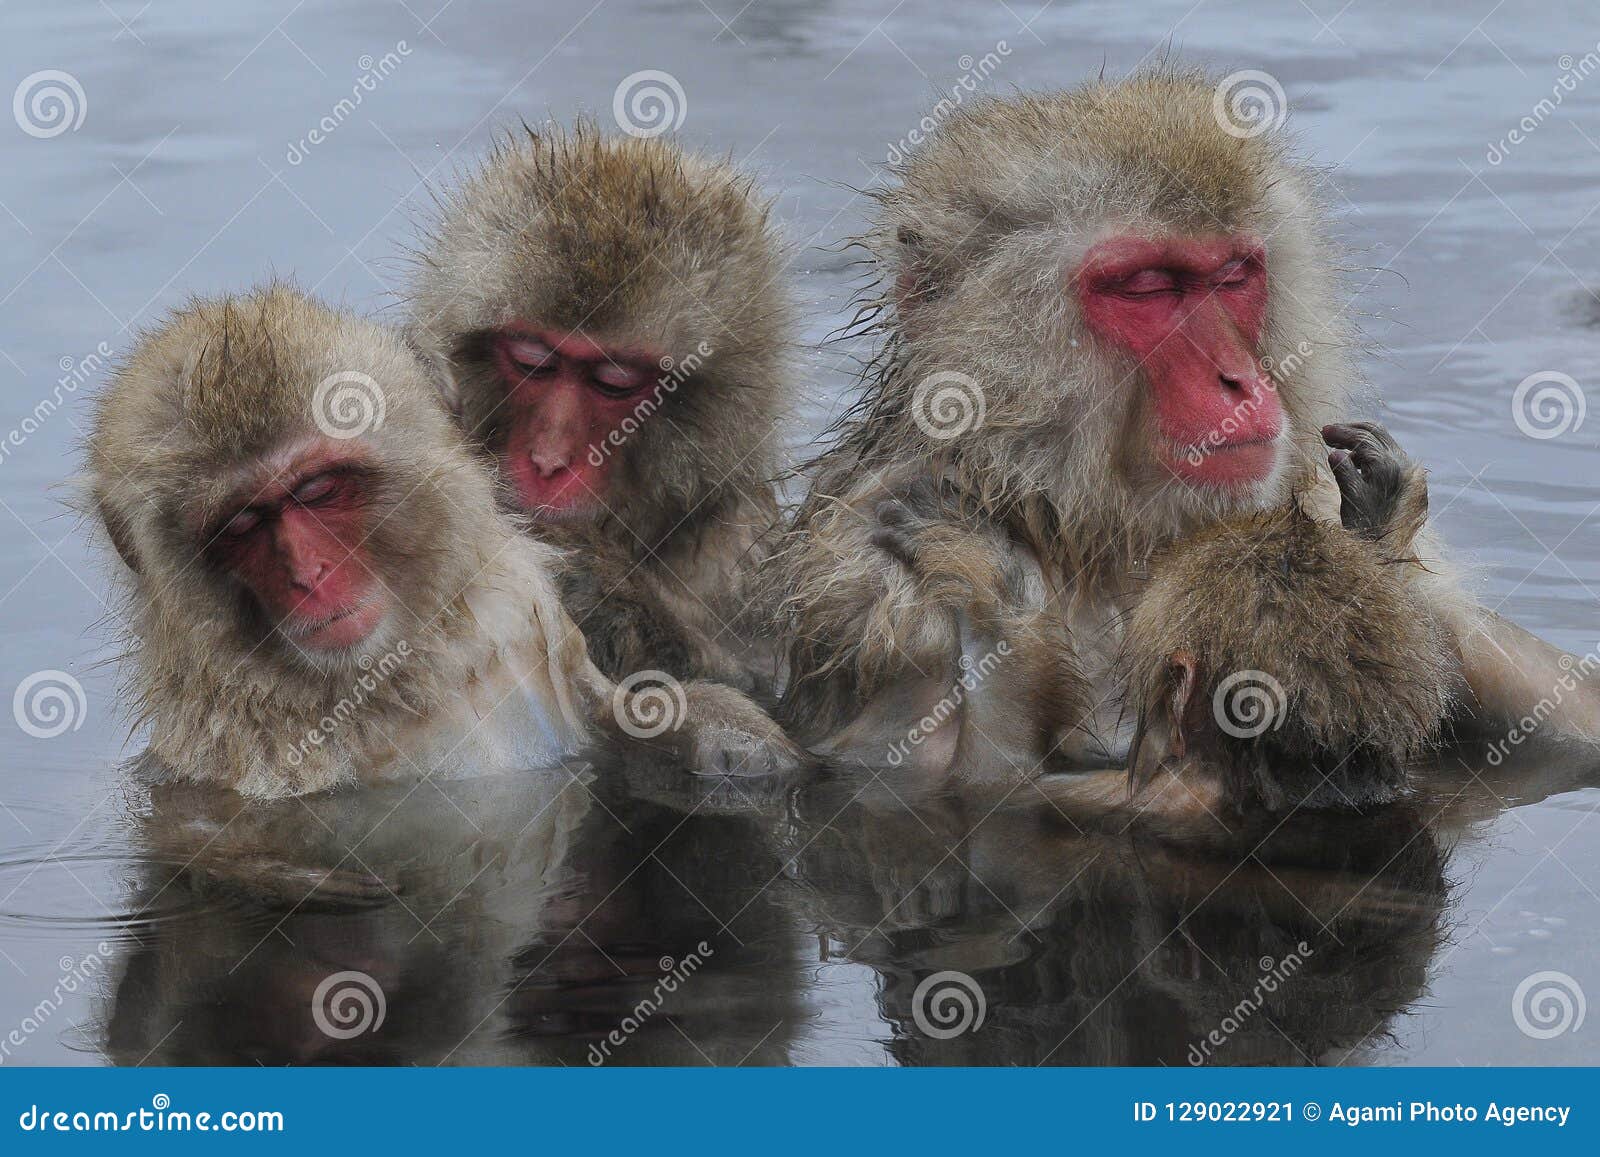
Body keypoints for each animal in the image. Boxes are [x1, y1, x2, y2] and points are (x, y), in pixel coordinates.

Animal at [406, 122, 794, 708]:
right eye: (533, 361)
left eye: (615, 382)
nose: (548, 461)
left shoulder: (742, 547)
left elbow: (762, 682)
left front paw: (582, 569)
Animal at [776, 67, 1600, 779]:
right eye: (1148, 286)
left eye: (1232, 276)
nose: (1237, 378)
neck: (1094, 527)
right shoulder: (874, 580)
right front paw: (1016, 621)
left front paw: (1382, 534)